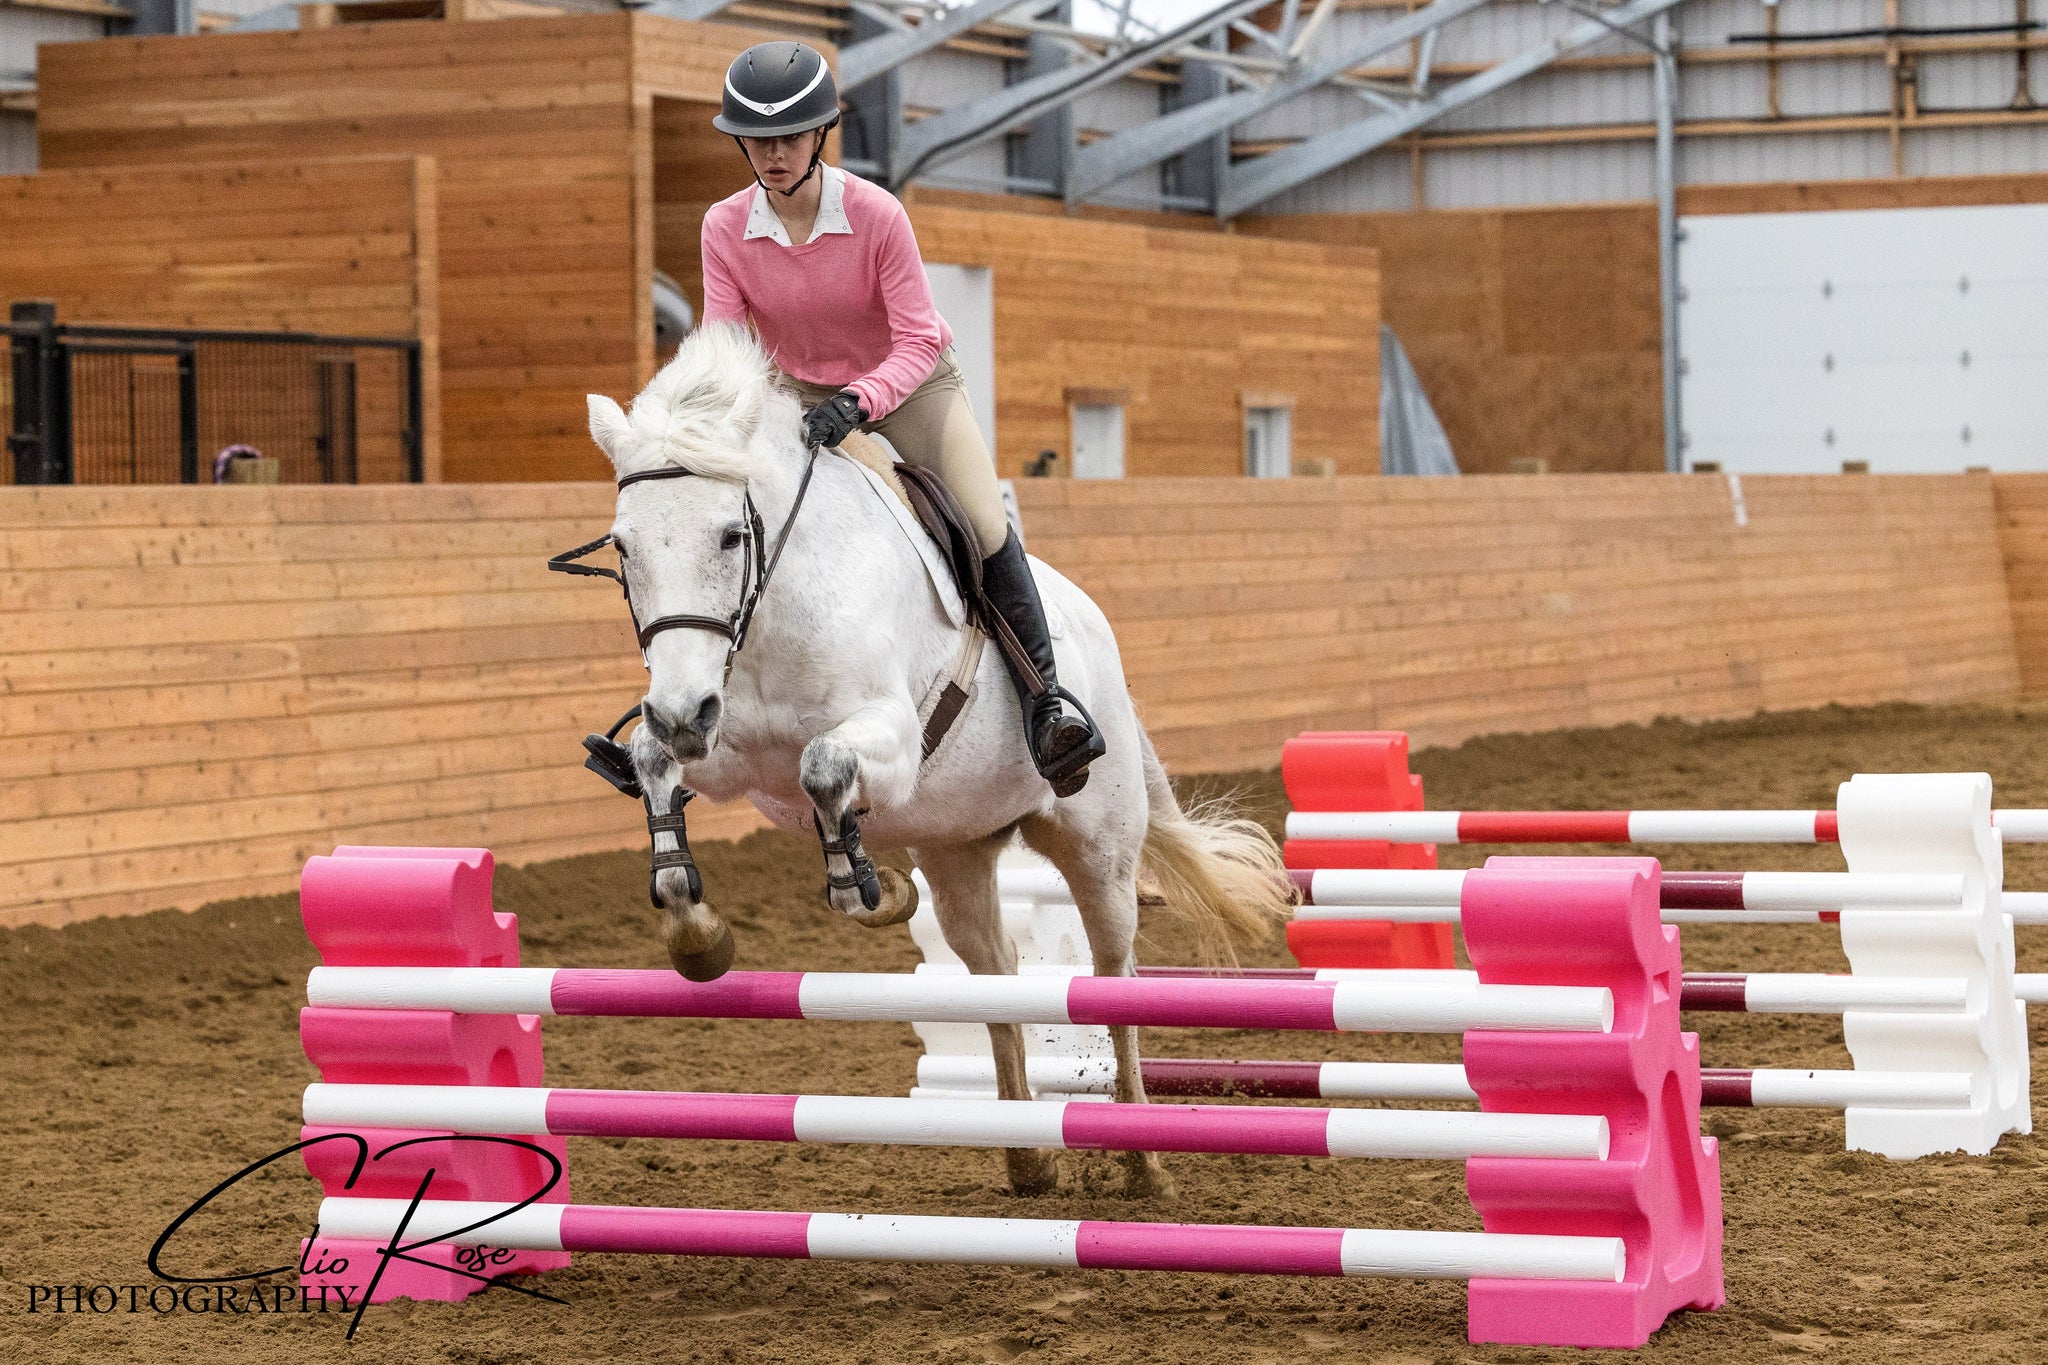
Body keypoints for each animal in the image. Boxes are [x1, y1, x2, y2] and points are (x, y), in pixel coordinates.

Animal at [581, 323, 1294, 1196]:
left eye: (730, 534)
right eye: (623, 547)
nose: (684, 713)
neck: (775, 606)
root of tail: (1099, 632)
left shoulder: (889, 736)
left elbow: (822, 765)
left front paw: (866, 887)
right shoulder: (718, 741)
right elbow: (656, 765)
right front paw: (696, 929)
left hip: (1100, 851)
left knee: (1114, 973)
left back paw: (1141, 1157)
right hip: (959, 854)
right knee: (997, 972)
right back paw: (1027, 1154)